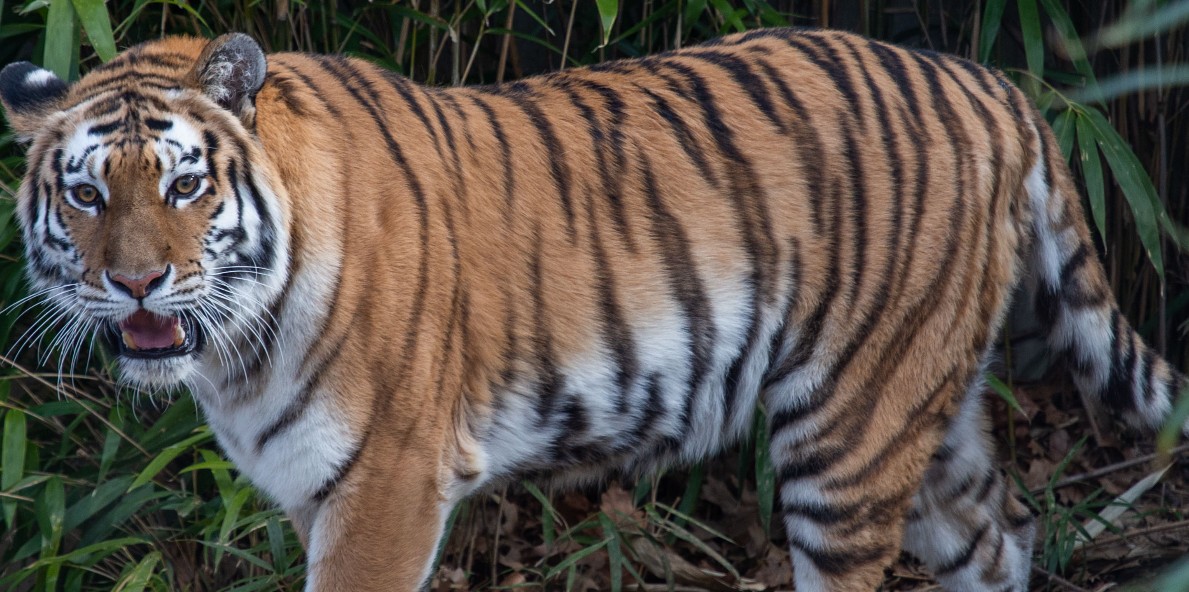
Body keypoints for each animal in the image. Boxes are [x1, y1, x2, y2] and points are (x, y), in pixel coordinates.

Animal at [1, 26, 1185, 591]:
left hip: (851, 431)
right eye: (88, 194)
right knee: (1004, 536)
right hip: (930, 405)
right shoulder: (311, 488)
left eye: (185, 186)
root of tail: (997, 86)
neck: (236, 353)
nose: (137, 283)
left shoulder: (385, 488)